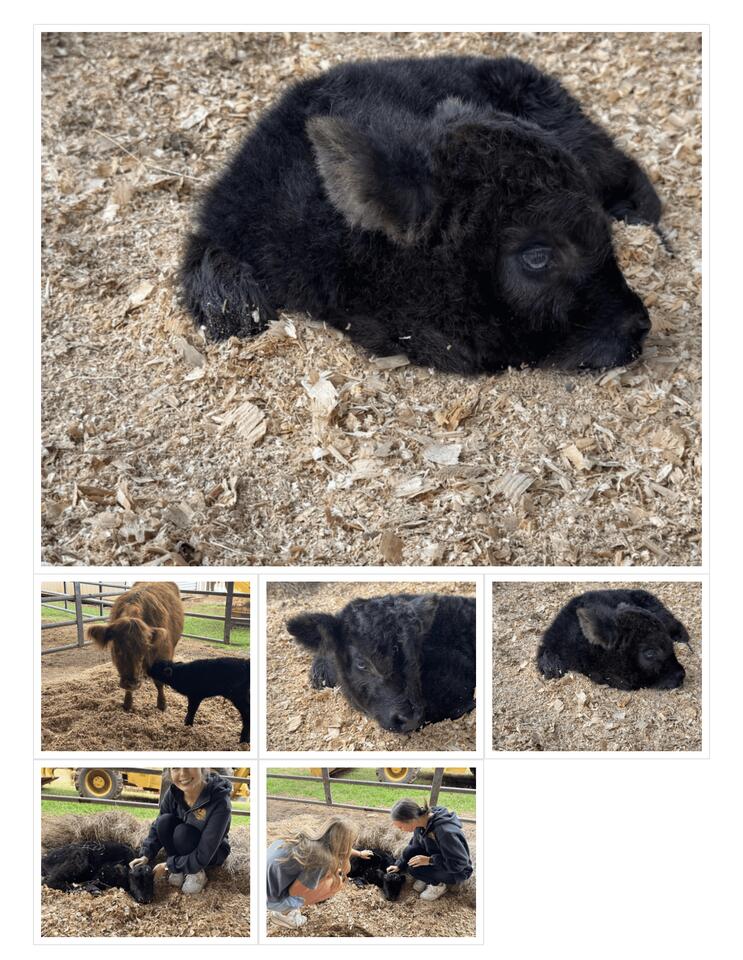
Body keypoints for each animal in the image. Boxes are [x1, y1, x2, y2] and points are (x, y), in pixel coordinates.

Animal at [87, 582, 184, 712]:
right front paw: (127, 703)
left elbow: (159, 682)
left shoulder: (163, 653)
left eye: (146, 648)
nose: (132, 683)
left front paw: (162, 704)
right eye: (117, 648)